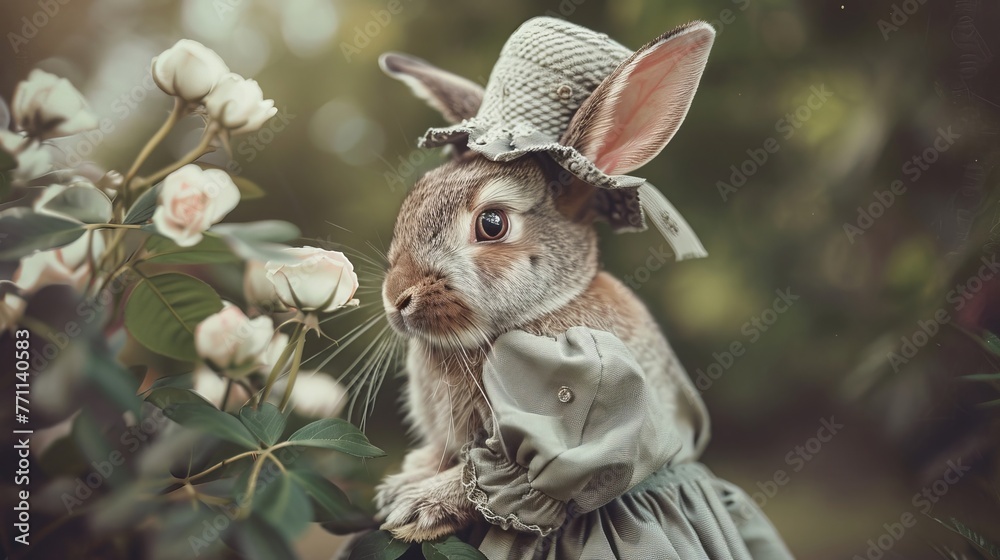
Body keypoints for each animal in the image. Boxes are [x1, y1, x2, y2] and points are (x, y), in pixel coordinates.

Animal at [374, 20, 715, 544]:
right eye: (416, 196)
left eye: (492, 224)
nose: (397, 298)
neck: (546, 307)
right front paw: (405, 480)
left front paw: (416, 508)